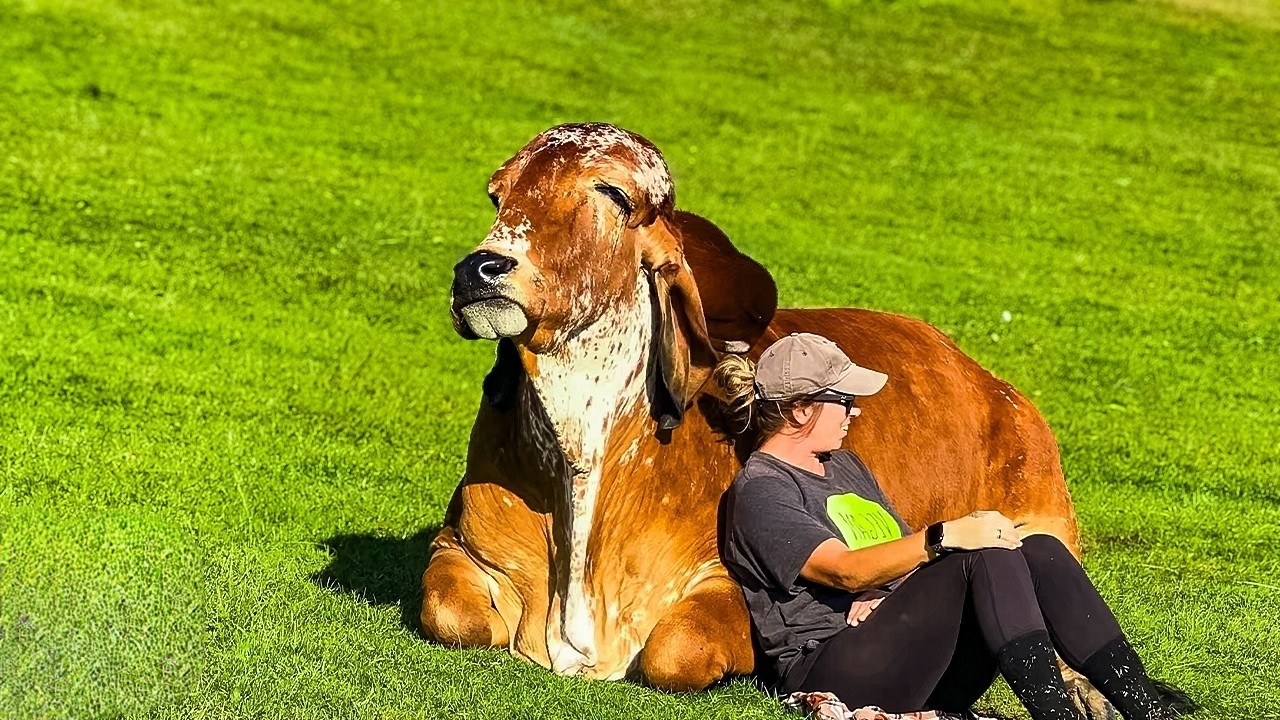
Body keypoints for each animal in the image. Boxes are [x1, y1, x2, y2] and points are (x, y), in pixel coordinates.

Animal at [422, 122, 1104, 714]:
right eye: (498, 194)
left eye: (612, 193)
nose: (479, 268)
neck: (585, 460)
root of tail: (991, 383)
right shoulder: (457, 542)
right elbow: (450, 613)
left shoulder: (723, 583)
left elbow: (679, 649)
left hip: (1047, 515)